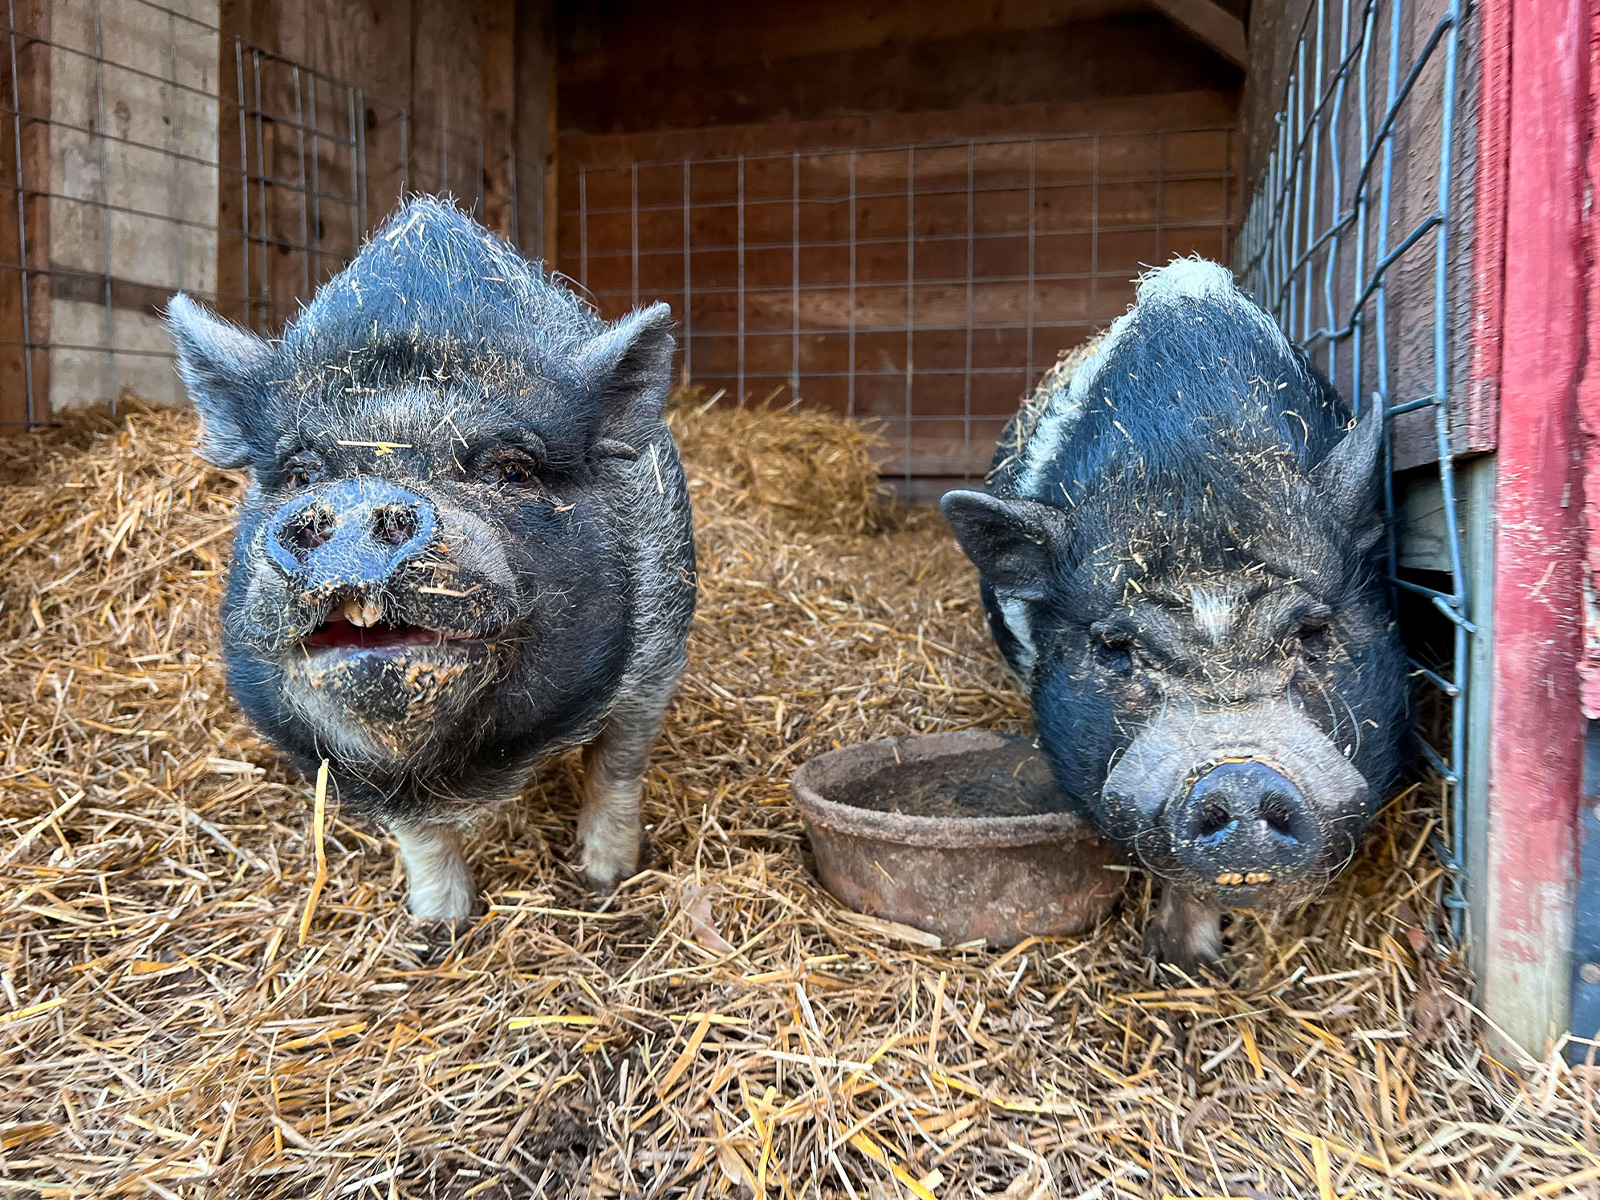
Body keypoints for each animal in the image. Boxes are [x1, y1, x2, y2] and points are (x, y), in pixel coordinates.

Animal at [166, 196, 696, 922]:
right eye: (301, 473)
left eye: (513, 468)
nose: (360, 496)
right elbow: (418, 834)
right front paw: (440, 923)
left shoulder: (659, 653)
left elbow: (617, 762)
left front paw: (606, 879)